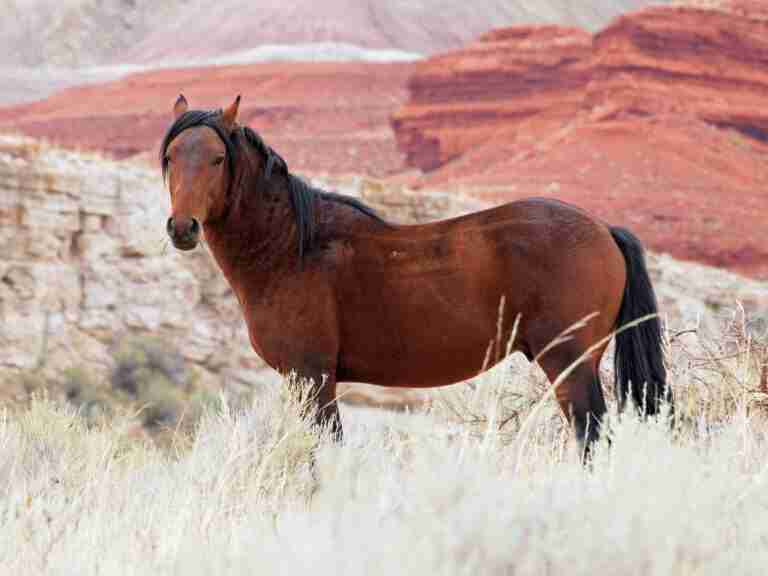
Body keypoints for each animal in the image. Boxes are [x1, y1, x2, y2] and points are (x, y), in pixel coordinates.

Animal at [160, 94, 672, 459]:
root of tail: (602, 228)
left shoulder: (313, 377)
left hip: (569, 362)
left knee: (592, 439)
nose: (182, 228)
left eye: (217, 159)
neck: (293, 247)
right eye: (170, 158)